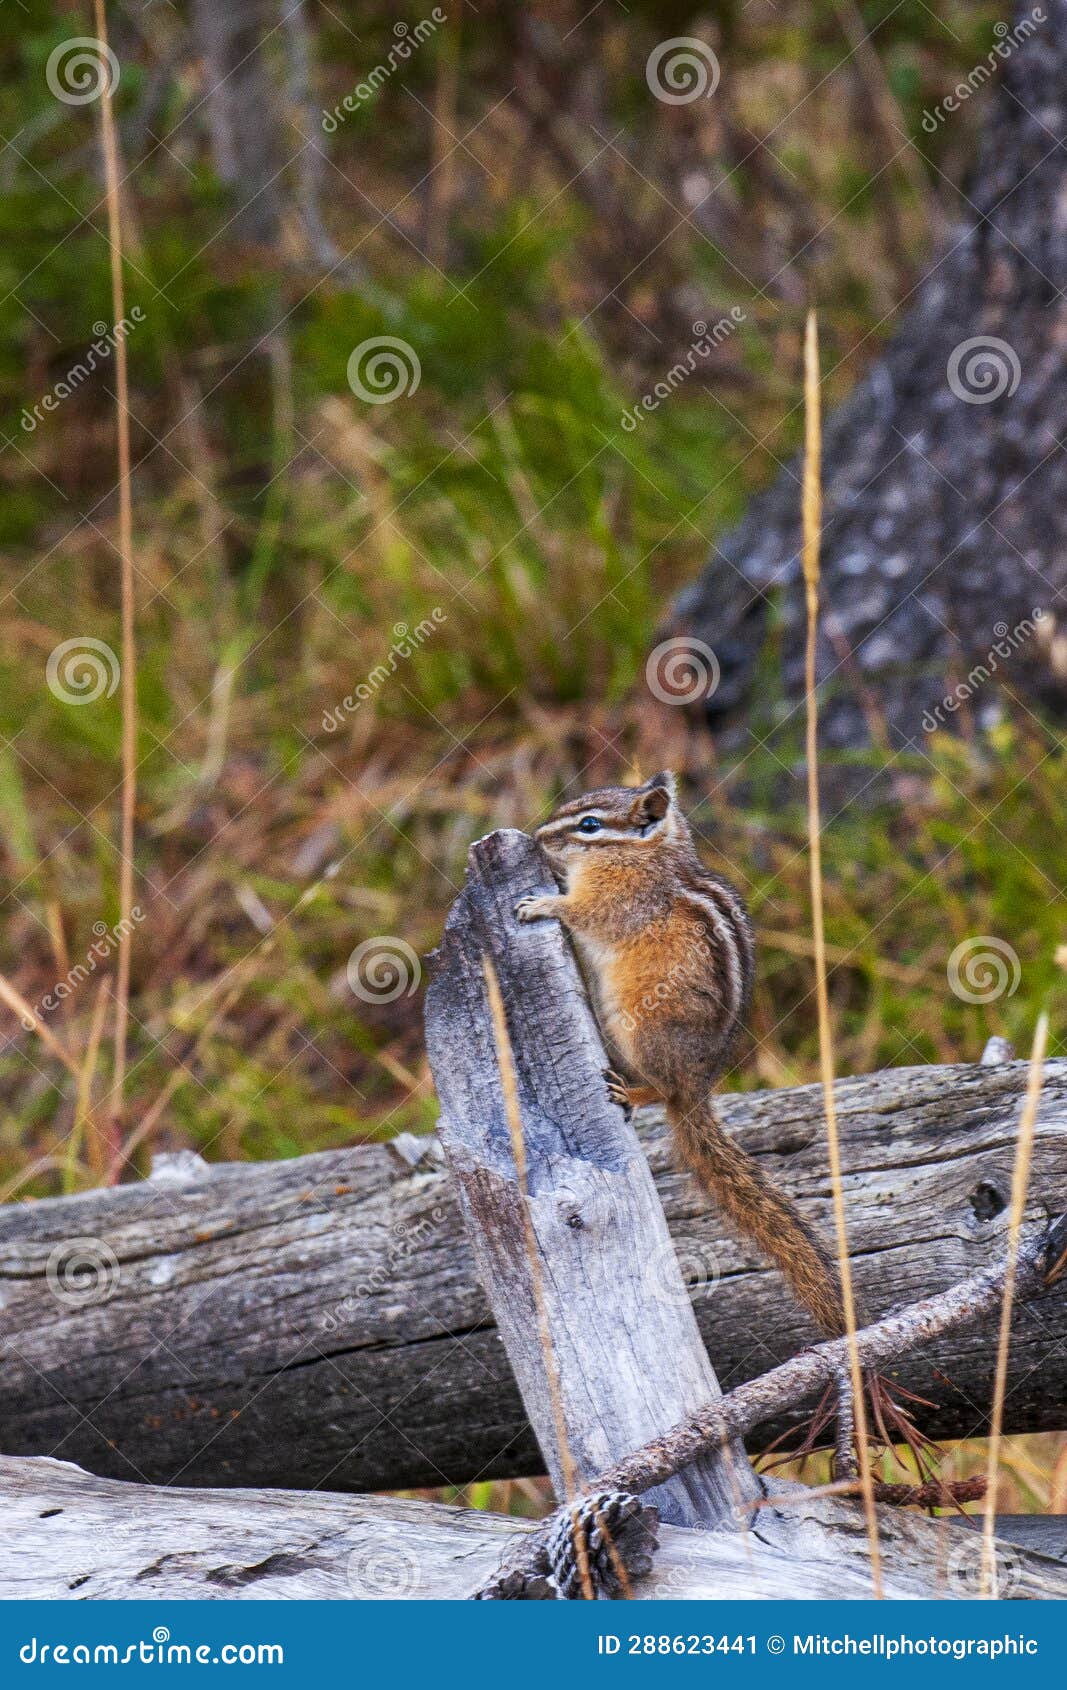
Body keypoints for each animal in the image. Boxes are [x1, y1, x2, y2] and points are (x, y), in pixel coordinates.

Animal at [516, 769, 845, 1338]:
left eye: (589, 824)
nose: (538, 838)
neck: (645, 855)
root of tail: (698, 1088)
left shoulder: (619, 900)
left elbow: (584, 912)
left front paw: (541, 904)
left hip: (642, 1028)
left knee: (662, 1089)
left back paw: (634, 1091)